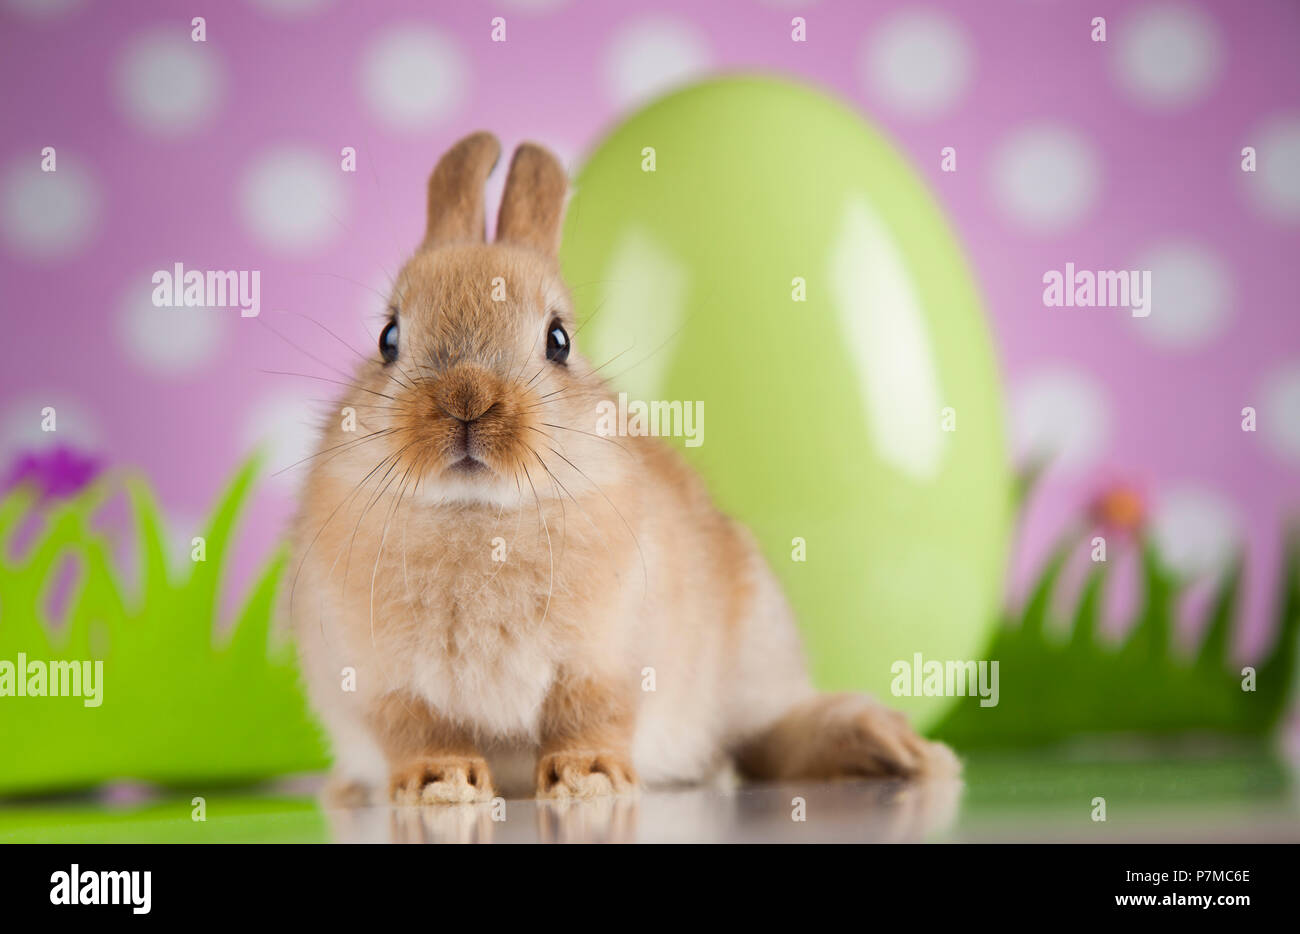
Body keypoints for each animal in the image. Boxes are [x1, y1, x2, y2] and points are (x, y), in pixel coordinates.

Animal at [287, 131, 959, 805]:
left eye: (558, 341)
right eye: (388, 338)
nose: (467, 399)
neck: (479, 515)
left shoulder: (603, 662)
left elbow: (590, 718)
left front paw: (588, 778)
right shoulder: (383, 682)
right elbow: (421, 732)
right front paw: (440, 783)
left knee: (765, 739)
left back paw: (896, 750)